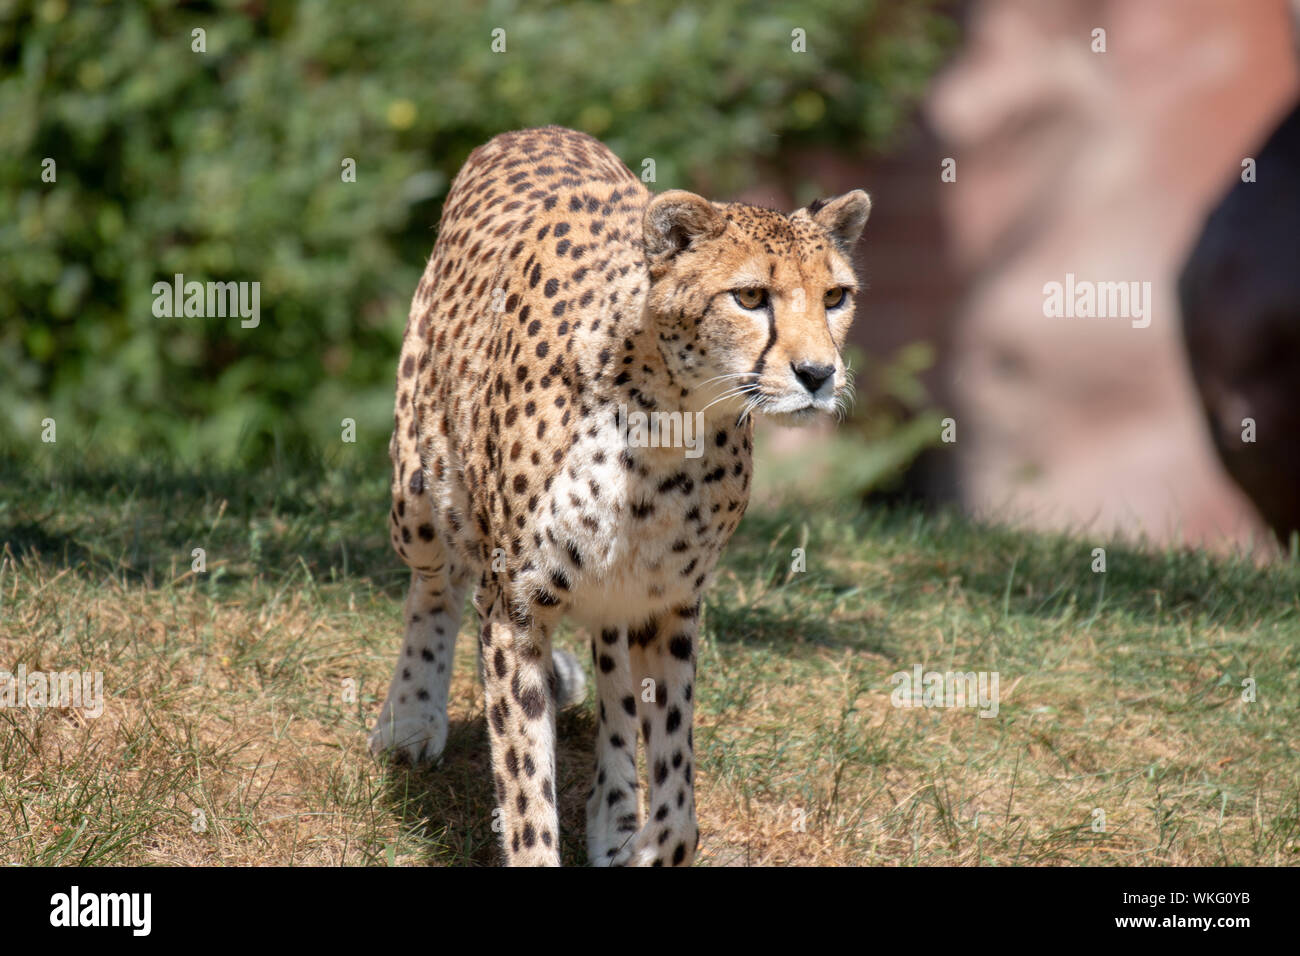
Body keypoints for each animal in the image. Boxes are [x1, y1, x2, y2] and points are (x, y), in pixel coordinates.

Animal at [369, 125, 870, 866]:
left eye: (835, 296)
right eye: (750, 297)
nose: (818, 373)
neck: (666, 419)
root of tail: (534, 129)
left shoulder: (669, 601)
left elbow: (678, 805)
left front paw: (639, 840)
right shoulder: (515, 607)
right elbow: (525, 787)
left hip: (614, 586)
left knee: (613, 685)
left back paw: (613, 812)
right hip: (418, 490)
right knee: (435, 585)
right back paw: (411, 716)